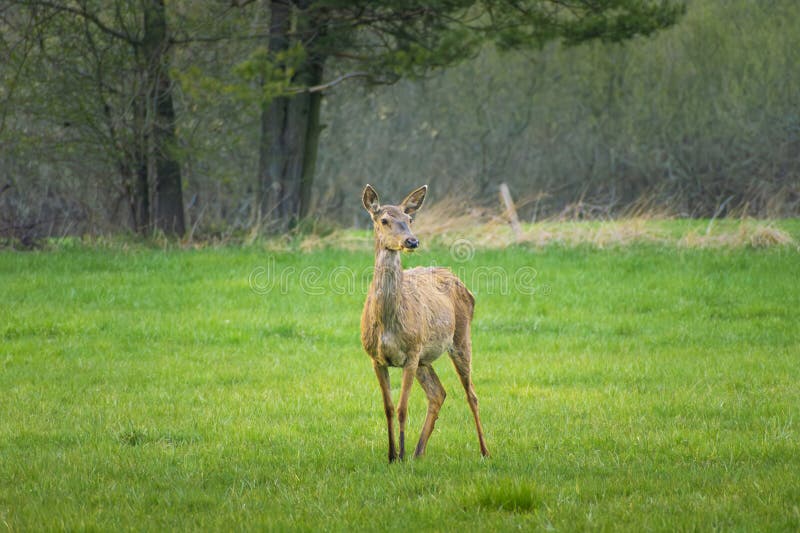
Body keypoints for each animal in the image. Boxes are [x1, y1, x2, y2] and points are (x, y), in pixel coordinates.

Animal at [360, 184, 489, 463]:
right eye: (383, 220)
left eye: (409, 219)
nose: (412, 241)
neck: (387, 324)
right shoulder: (376, 358)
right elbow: (388, 408)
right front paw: (391, 455)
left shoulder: (410, 353)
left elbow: (402, 408)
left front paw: (400, 455)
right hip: (425, 358)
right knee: (438, 393)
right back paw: (419, 451)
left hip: (459, 338)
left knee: (471, 394)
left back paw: (485, 451)